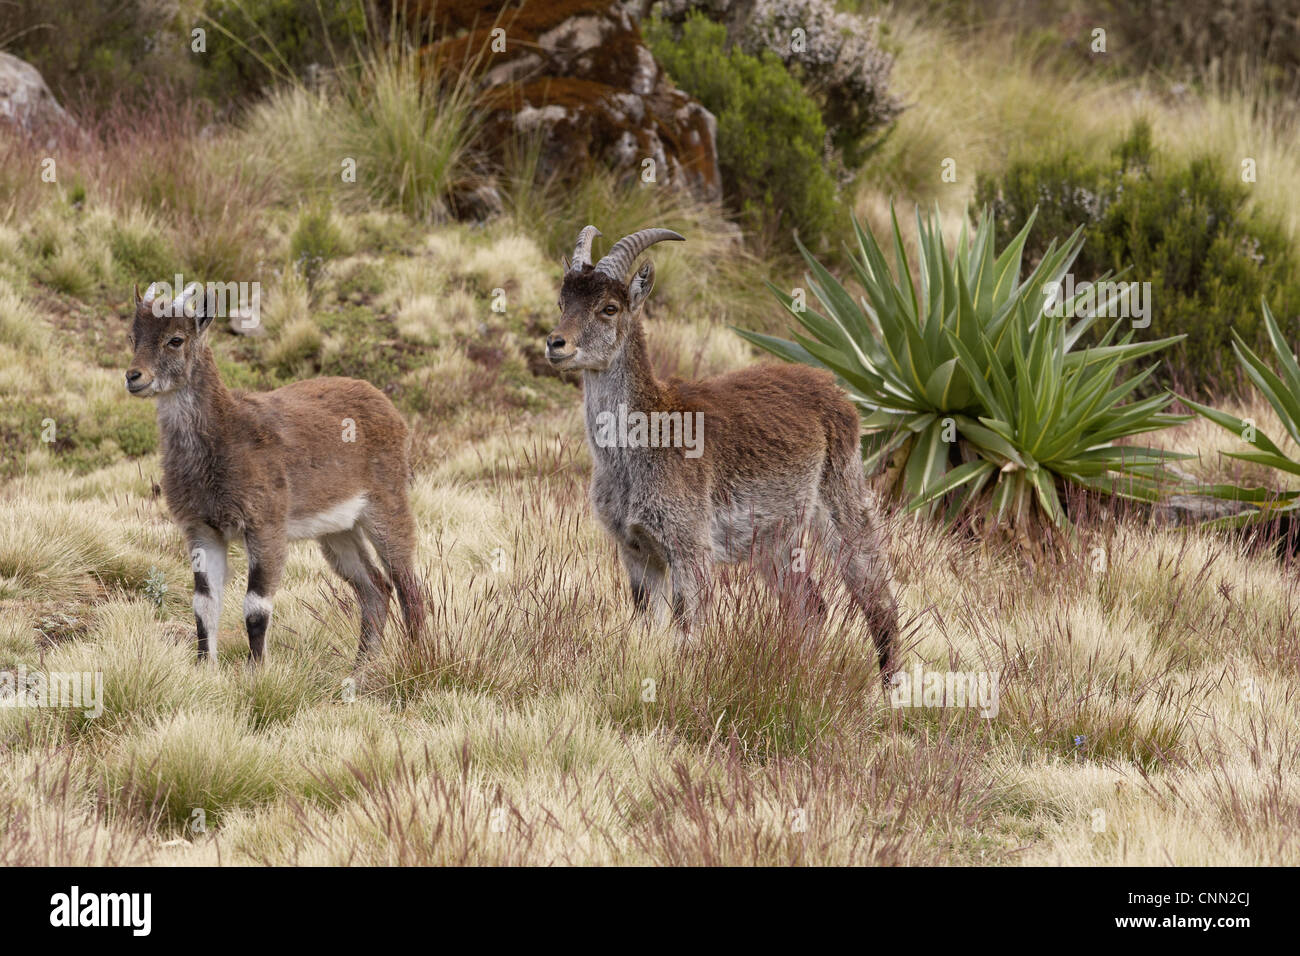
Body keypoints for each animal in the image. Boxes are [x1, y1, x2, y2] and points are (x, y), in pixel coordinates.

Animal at [125, 281, 424, 664]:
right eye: (133, 336)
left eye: (175, 339)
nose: (134, 377)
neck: (223, 437)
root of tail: (390, 410)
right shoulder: (201, 529)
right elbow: (204, 605)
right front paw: (206, 668)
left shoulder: (265, 524)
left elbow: (255, 607)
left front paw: (257, 671)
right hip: (337, 530)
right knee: (375, 588)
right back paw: (361, 669)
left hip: (386, 505)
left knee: (408, 586)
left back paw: (415, 659)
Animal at [546, 226, 899, 675]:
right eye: (562, 303)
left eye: (609, 307)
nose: (557, 344)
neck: (640, 447)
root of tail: (836, 392)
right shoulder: (636, 551)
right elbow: (646, 627)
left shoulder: (690, 549)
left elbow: (687, 634)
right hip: (774, 539)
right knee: (810, 605)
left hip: (843, 500)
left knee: (877, 598)